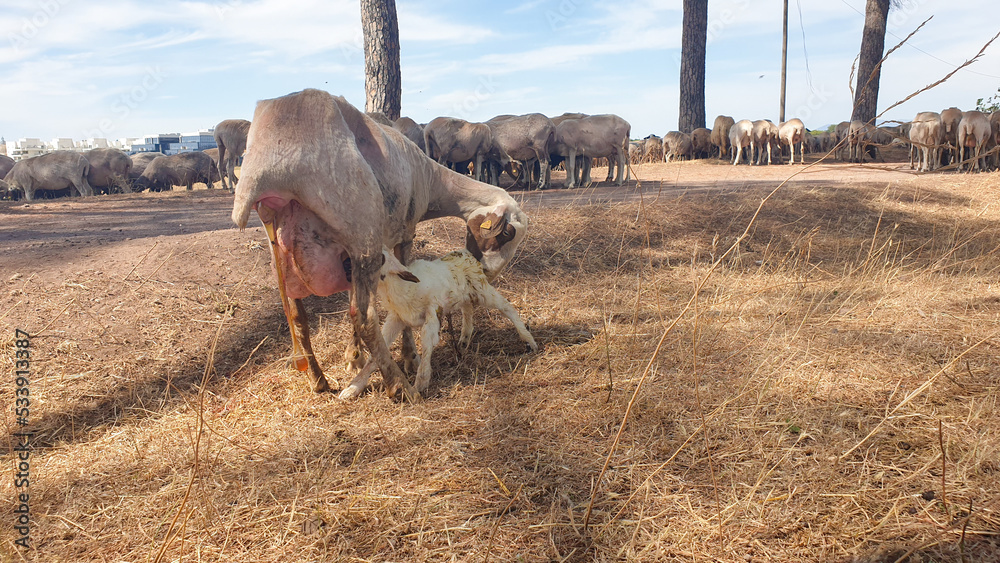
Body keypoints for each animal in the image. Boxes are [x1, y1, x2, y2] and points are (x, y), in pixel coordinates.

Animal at [342, 249, 537, 398]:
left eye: (379, 257)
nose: (345, 263)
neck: (402, 287)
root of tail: (467, 254)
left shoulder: (432, 310)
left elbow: (427, 342)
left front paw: (420, 383)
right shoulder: (397, 318)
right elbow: (377, 351)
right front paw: (352, 388)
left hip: (482, 290)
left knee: (506, 307)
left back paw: (529, 341)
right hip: (465, 294)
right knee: (468, 309)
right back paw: (464, 340)